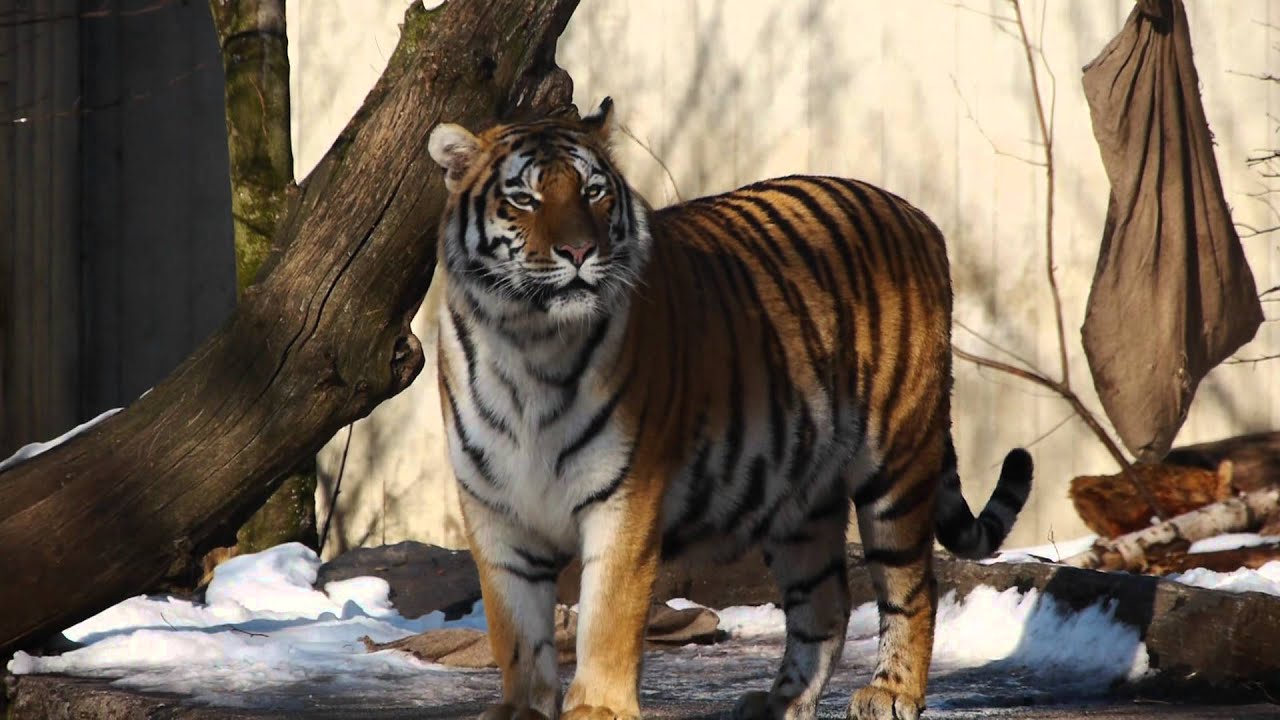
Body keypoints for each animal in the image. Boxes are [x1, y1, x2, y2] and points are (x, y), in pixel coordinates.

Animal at [427, 98, 1033, 720]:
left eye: (593, 192)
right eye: (524, 199)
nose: (578, 251)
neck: (529, 342)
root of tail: (917, 215)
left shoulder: (626, 495)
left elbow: (606, 616)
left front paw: (598, 708)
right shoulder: (494, 504)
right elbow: (515, 627)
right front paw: (522, 708)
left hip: (896, 461)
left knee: (913, 587)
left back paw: (889, 694)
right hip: (801, 497)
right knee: (825, 603)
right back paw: (781, 700)